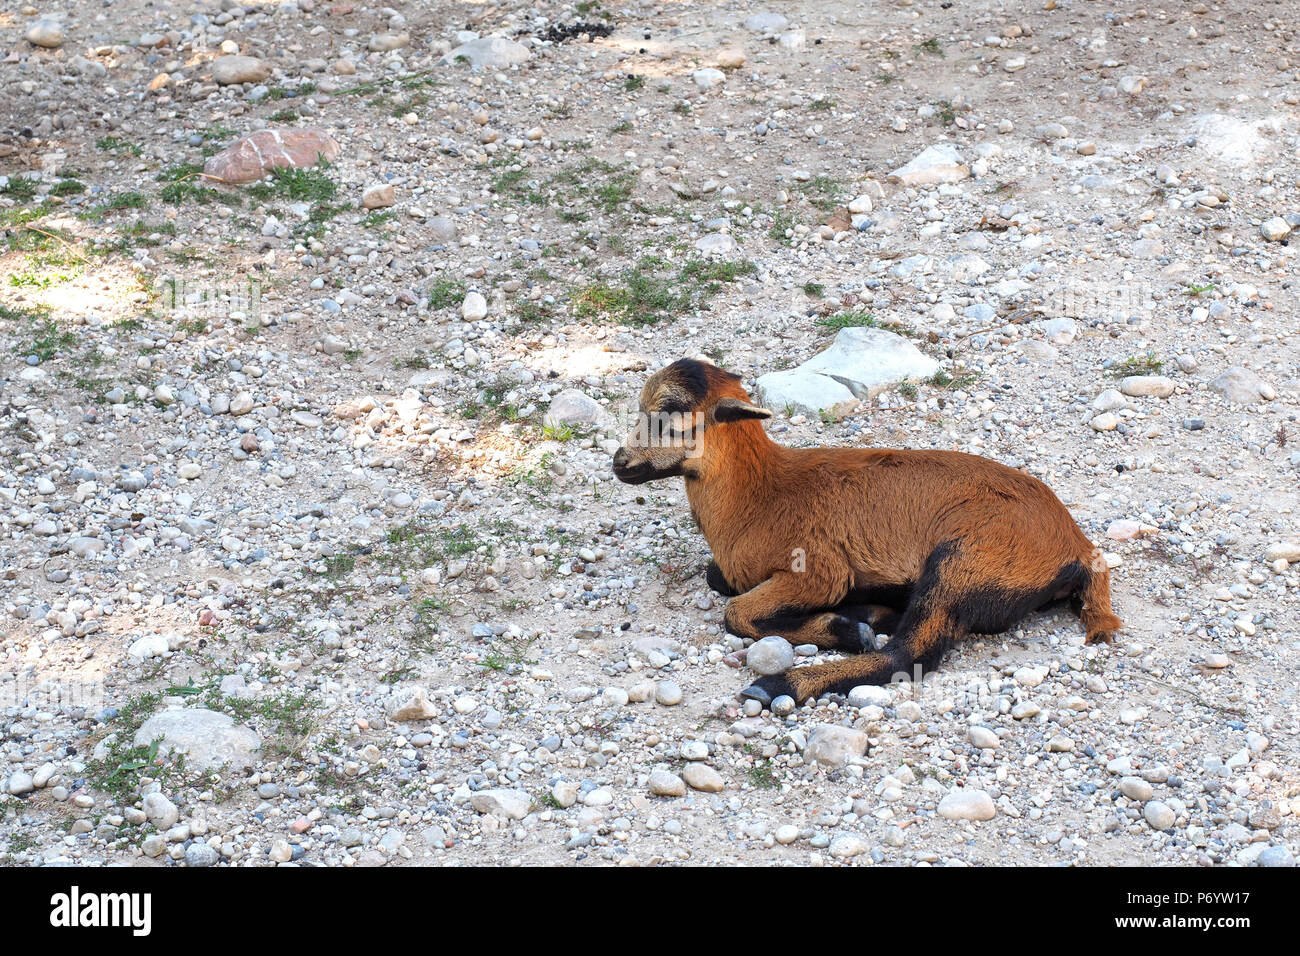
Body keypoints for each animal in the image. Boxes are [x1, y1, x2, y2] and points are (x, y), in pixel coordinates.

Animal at [612, 357, 1122, 705]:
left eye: (671, 417)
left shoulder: (818, 569)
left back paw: (784, 681)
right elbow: (717, 579)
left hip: (966, 560)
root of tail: (1079, 547)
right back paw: (869, 616)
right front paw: (849, 621)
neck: (758, 496)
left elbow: (735, 613)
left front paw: (840, 628)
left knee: (908, 655)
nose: (619, 463)